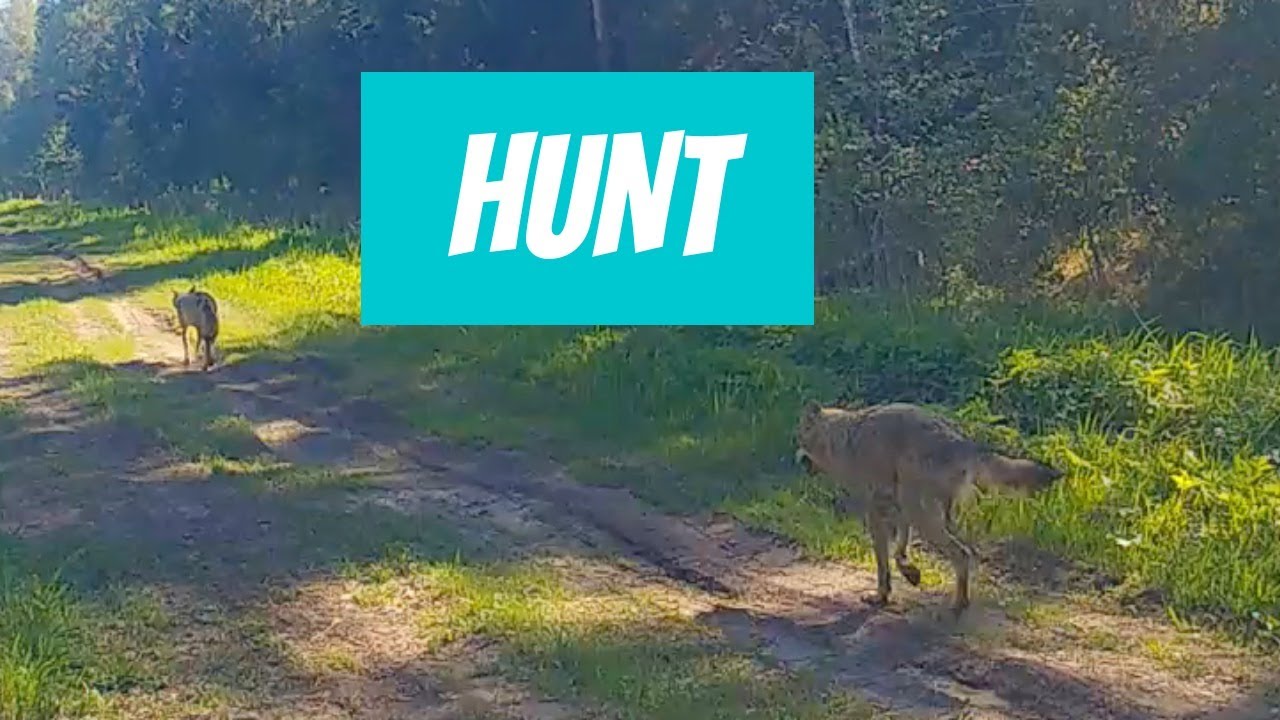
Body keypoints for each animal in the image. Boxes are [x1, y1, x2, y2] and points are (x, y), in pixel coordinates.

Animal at [793, 400, 1062, 615]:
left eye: (799, 439)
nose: (795, 459)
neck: (839, 437)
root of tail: (964, 444)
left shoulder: (875, 513)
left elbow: (882, 565)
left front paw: (881, 596)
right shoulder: (899, 512)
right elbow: (899, 551)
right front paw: (910, 572)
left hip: (924, 516)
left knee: (962, 554)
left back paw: (958, 604)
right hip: (931, 514)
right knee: (967, 552)